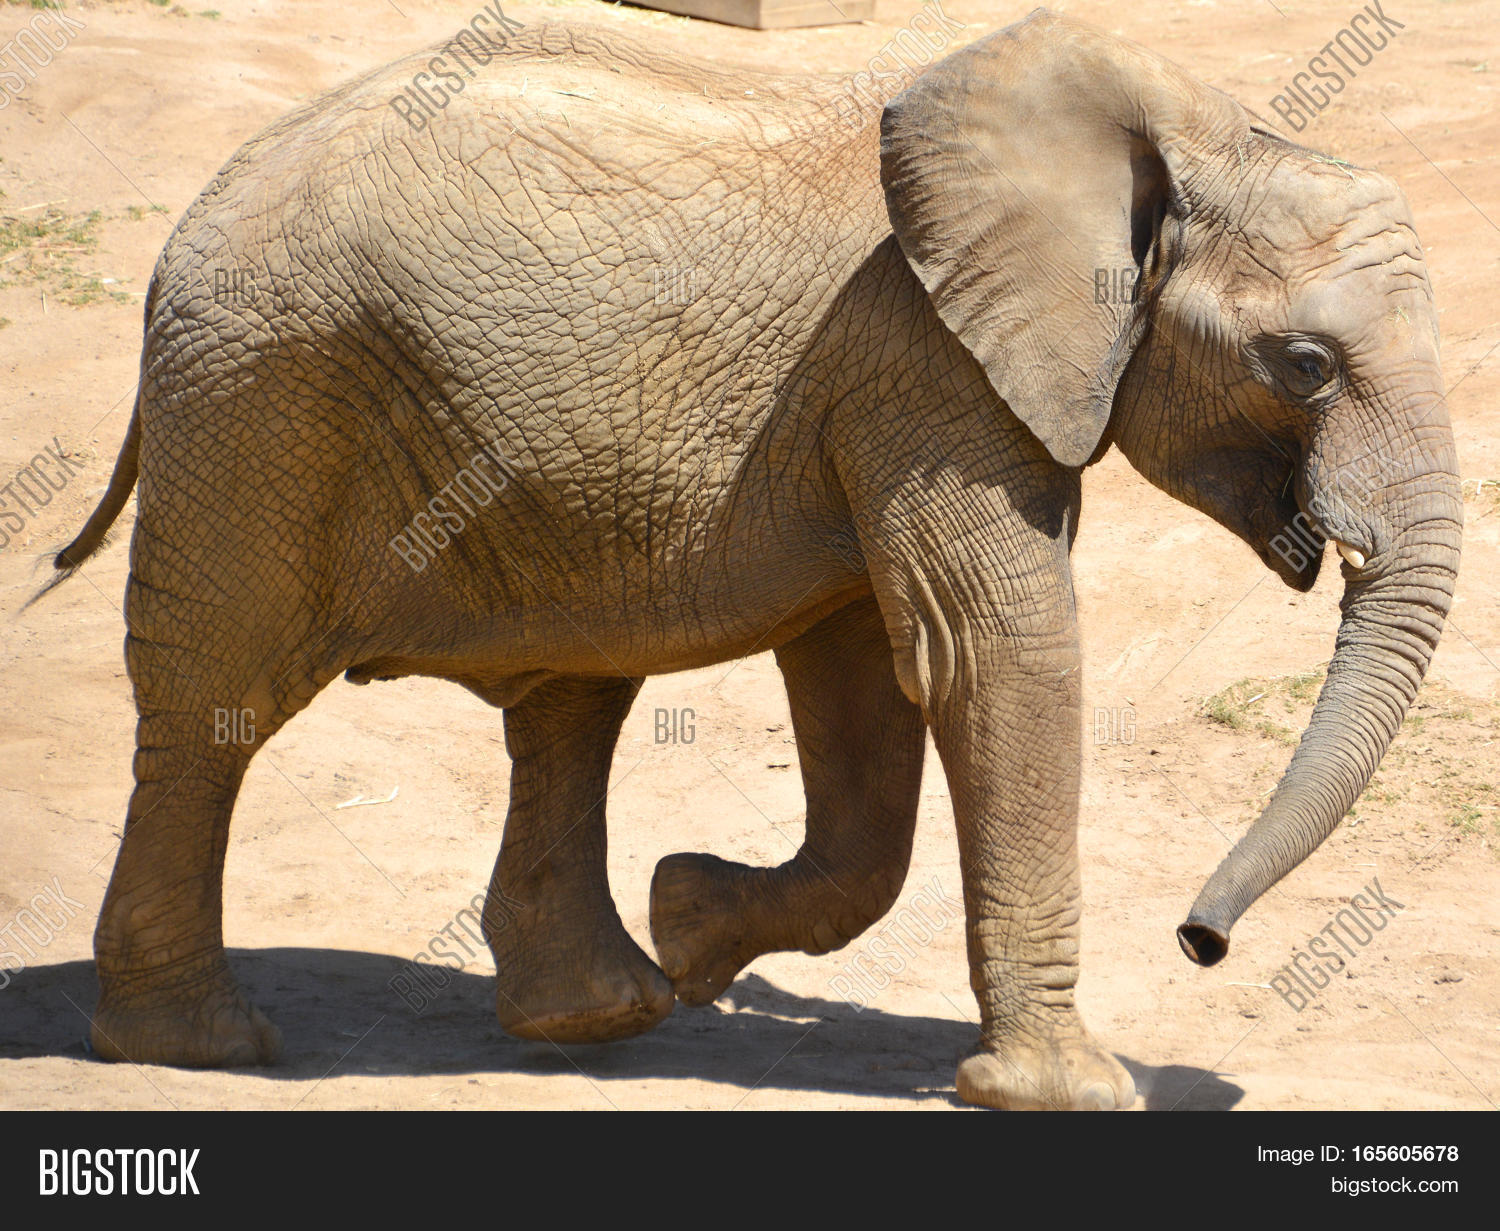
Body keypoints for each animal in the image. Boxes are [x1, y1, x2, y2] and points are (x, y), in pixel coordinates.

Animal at [46, 9, 1461, 1110]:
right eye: (1306, 364)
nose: (1201, 940)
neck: (1192, 128)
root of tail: (194, 215)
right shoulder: (922, 359)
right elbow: (989, 650)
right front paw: (1072, 1090)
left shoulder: (867, 391)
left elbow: (870, 675)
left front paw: (696, 926)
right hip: (258, 402)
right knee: (214, 707)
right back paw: (203, 1045)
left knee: (568, 699)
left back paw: (605, 1008)